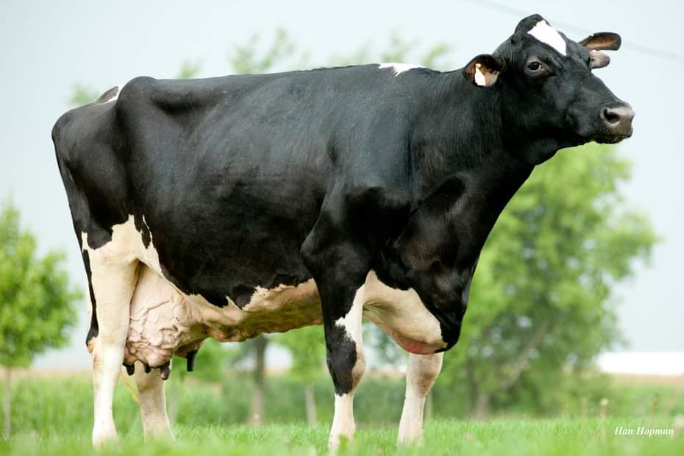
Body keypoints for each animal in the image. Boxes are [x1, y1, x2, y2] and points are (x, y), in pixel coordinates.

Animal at [52, 14, 633, 447]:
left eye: (588, 60)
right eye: (536, 64)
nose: (620, 112)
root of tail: (96, 102)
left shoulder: (434, 285)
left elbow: (424, 373)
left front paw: (410, 442)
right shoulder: (335, 255)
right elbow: (347, 363)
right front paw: (342, 441)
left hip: (156, 280)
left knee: (146, 368)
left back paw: (161, 444)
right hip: (107, 253)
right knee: (106, 349)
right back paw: (106, 441)